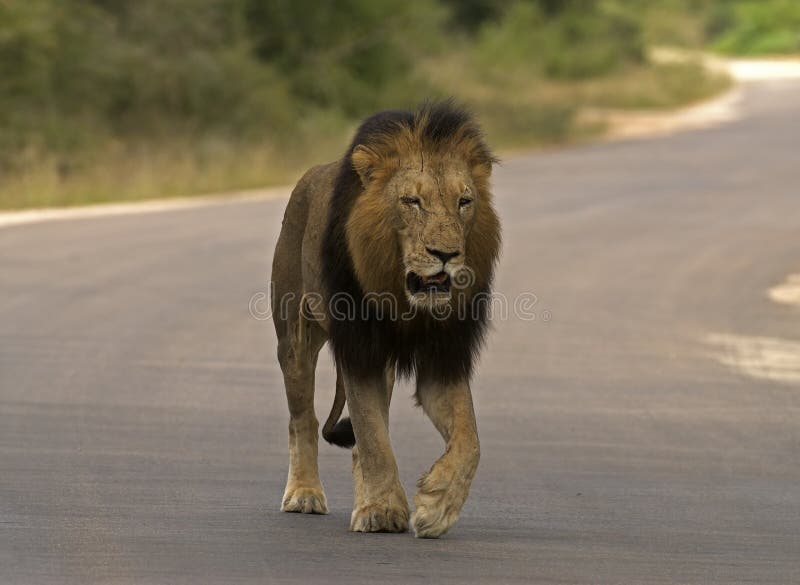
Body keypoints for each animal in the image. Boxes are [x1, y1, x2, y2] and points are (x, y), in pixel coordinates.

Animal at [272, 100, 504, 540]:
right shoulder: (360, 351)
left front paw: (437, 504)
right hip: (294, 338)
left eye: (464, 202)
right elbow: (372, 435)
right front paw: (380, 510)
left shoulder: (442, 360)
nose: (446, 254)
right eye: (412, 201)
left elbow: (470, 440)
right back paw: (305, 493)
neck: (406, 300)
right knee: (302, 420)